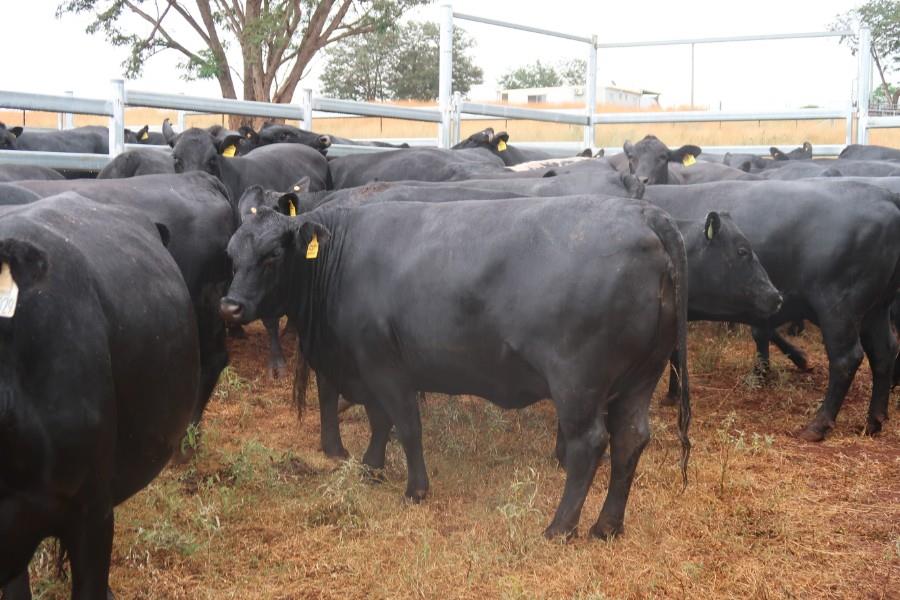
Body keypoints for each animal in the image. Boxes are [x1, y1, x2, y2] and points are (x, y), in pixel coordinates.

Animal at [220, 194, 691, 540]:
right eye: (231, 253)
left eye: (272, 254)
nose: (230, 306)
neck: (342, 258)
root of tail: (644, 213)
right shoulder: (367, 370)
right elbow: (379, 422)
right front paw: (371, 468)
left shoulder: (385, 368)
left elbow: (405, 426)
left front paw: (415, 489)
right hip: (640, 379)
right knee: (630, 439)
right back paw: (606, 526)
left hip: (578, 384)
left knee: (589, 444)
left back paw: (560, 527)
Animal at [642, 180, 900, 440]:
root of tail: (884, 195)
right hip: (875, 311)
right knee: (884, 352)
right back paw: (874, 421)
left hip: (838, 310)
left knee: (846, 359)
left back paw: (818, 424)